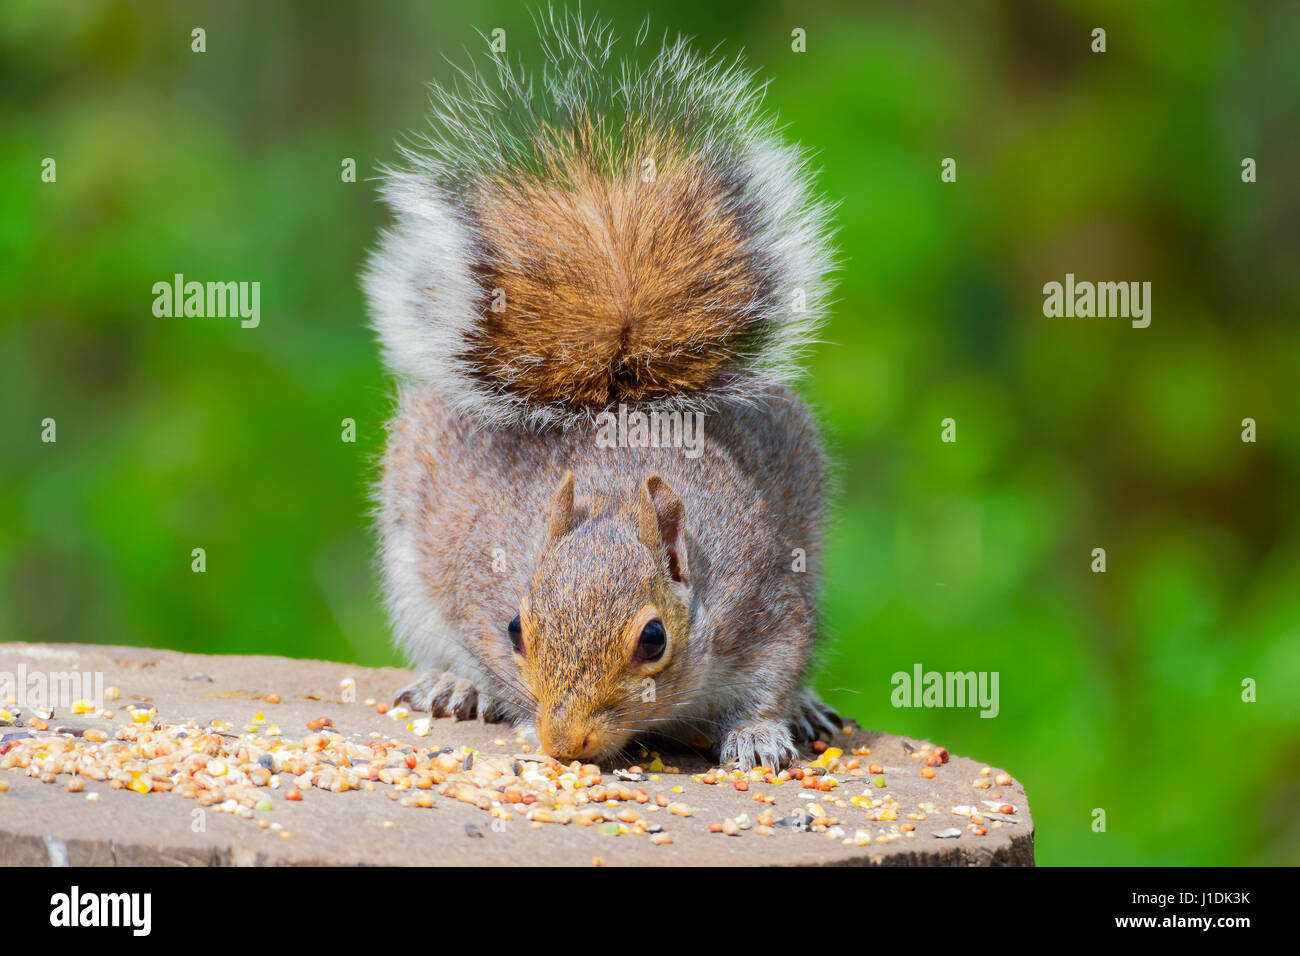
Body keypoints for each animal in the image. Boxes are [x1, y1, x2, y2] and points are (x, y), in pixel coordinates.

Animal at [363, 14, 838, 771]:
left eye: (654, 640)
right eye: (516, 628)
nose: (566, 742)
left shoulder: (768, 602)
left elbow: (774, 675)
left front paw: (762, 733)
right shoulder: (475, 593)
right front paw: (498, 700)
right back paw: (451, 685)